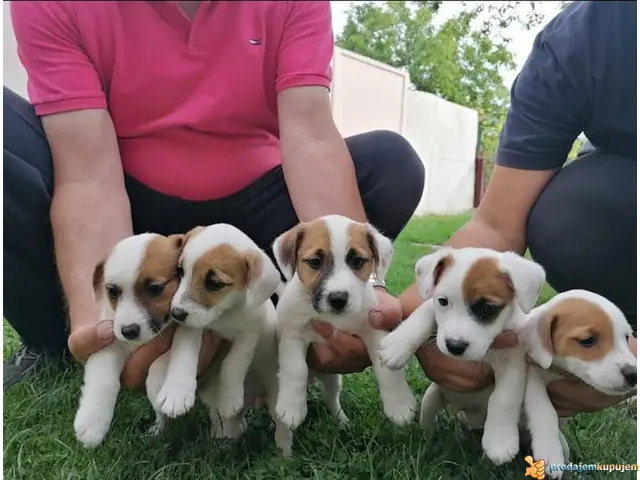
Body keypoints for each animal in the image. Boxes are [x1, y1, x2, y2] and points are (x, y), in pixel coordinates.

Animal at [75, 232, 185, 446]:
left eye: (155, 288)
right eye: (112, 291)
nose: (128, 331)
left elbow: (161, 362)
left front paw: (158, 386)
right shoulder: (110, 343)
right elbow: (103, 378)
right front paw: (92, 421)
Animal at [149, 223, 294, 456]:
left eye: (215, 283)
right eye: (181, 271)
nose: (176, 314)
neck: (225, 315)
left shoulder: (249, 335)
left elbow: (233, 363)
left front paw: (229, 396)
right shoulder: (192, 328)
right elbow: (184, 354)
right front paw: (177, 392)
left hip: (276, 398)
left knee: (281, 427)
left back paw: (284, 455)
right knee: (227, 424)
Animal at [272, 214, 418, 432]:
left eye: (357, 261)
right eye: (315, 262)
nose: (338, 299)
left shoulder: (374, 331)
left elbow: (387, 372)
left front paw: (399, 405)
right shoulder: (293, 335)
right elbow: (296, 369)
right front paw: (291, 409)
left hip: (333, 378)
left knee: (331, 398)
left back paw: (341, 421)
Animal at [378, 248, 548, 464]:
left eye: (488, 308)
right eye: (443, 301)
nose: (454, 346)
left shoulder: (513, 365)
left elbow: (503, 398)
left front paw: (499, 442)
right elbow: (426, 309)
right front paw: (397, 345)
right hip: (432, 398)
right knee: (428, 419)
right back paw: (427, 441)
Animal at [516, 288, 636, 476]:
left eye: (626, 337)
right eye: (587, 340)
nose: (634, 374)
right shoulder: (533, 371)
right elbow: (544, 409)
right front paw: (550, 449)